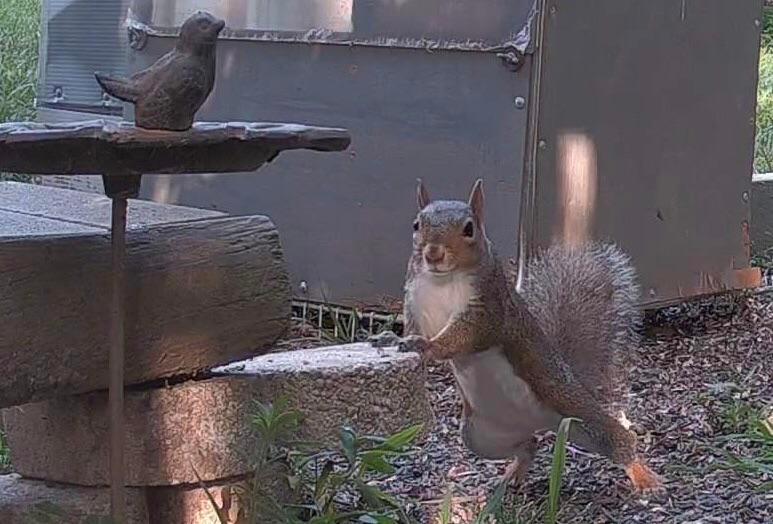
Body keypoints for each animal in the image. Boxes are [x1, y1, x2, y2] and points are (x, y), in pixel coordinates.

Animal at [371, 178, 662, 493]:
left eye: (469, 229)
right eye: (416, 225)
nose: (433, 254)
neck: (442, 281)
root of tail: (540, 421)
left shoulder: (487, 307)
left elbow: (464, 336)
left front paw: (427, 346)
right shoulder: (415, 302)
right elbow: (412, 328)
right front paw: (392, 339)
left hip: (575, 409)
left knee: (617, 439)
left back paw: (643, 477)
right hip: (480, 437)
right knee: (529, 445)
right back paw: (513, 473)